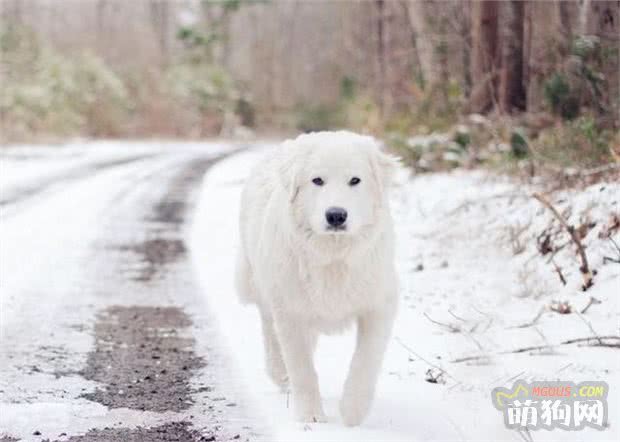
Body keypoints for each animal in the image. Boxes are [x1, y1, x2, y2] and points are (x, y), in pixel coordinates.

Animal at [235, 130, 400, 424]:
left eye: (355, 180)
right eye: (317, 180)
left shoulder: (379, 305)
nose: (336, 215)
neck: (333, 255)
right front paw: (311, 416)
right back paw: (279, 372)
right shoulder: (290, 310)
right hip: (265, 285)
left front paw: (353, 412)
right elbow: (302, 368)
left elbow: (365, 361)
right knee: (270, 332)